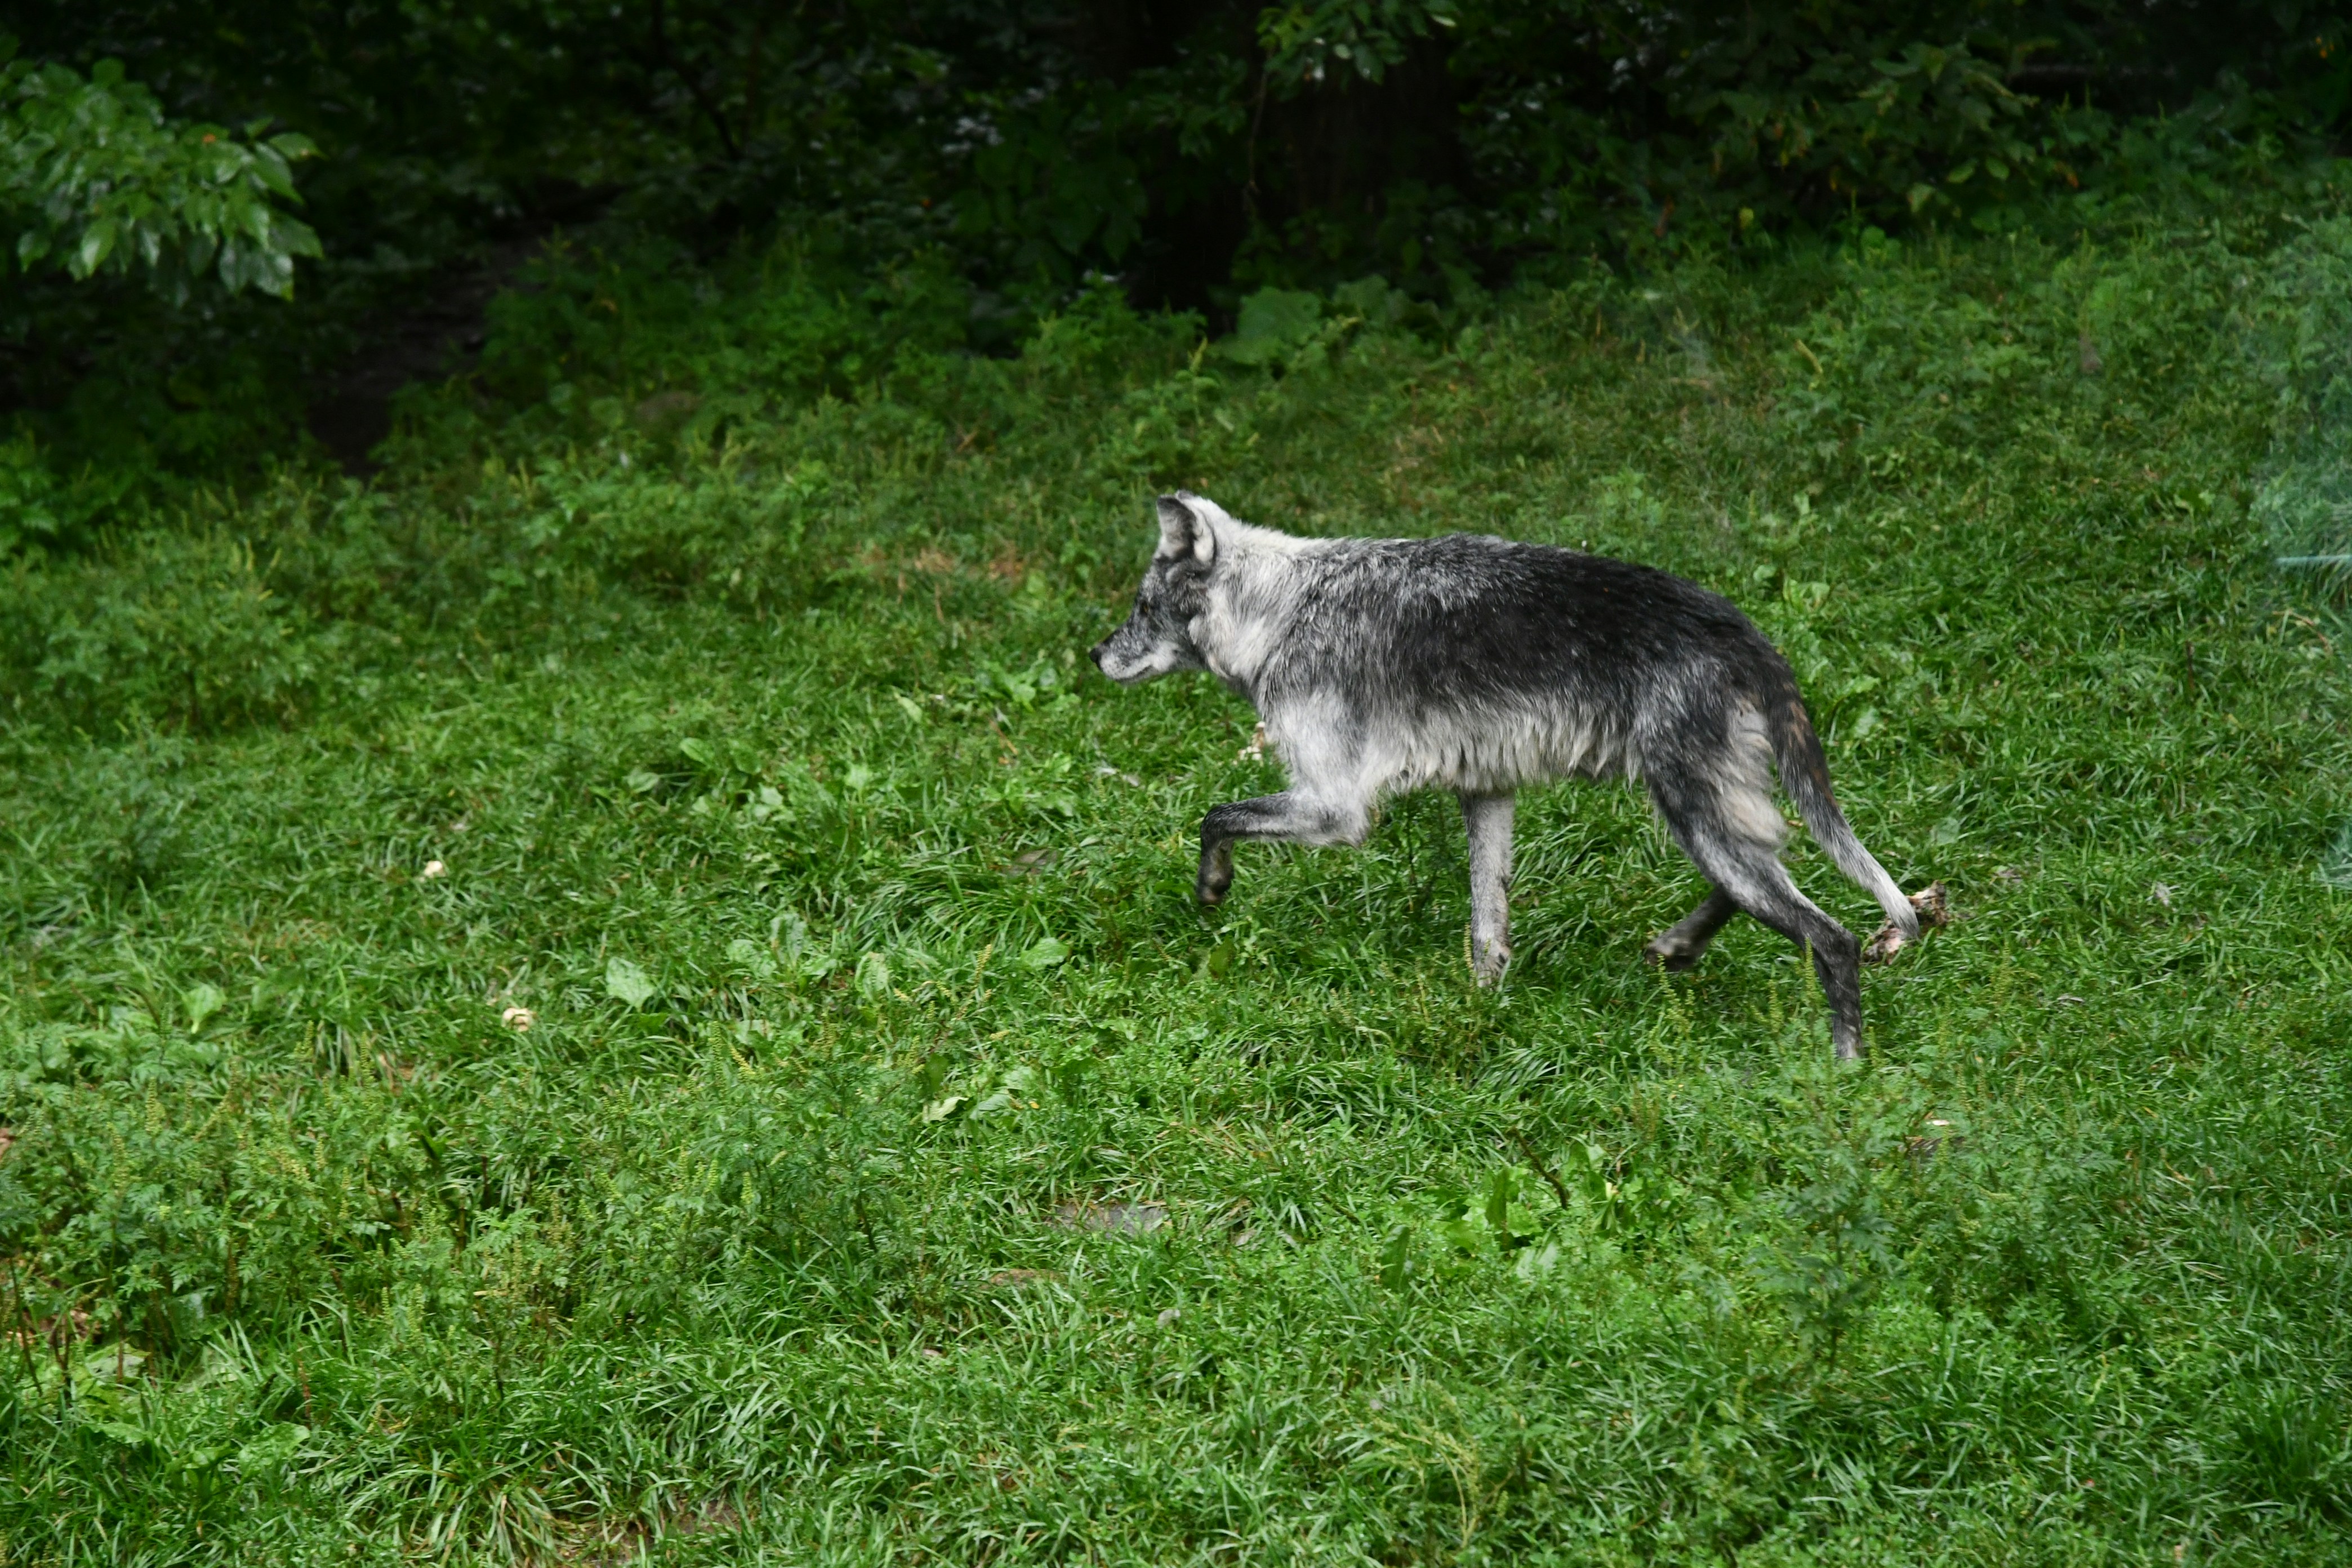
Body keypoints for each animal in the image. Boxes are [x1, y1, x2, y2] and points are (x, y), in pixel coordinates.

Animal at [1090, 491, 1917, 1058]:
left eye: (1141, 606)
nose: (1095, 656)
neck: (1284, 611)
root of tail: (1742, 630)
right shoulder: (1485, 796)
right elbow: (1488, 928)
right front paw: (1483, 1013)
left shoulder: (1335, 811)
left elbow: (1214, 817)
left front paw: (1212, 887)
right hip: (1710, 822)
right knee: (1758, 885)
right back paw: (1678, 948)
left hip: (1697, 817)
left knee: (1833, 938)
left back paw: (1844, 1070)